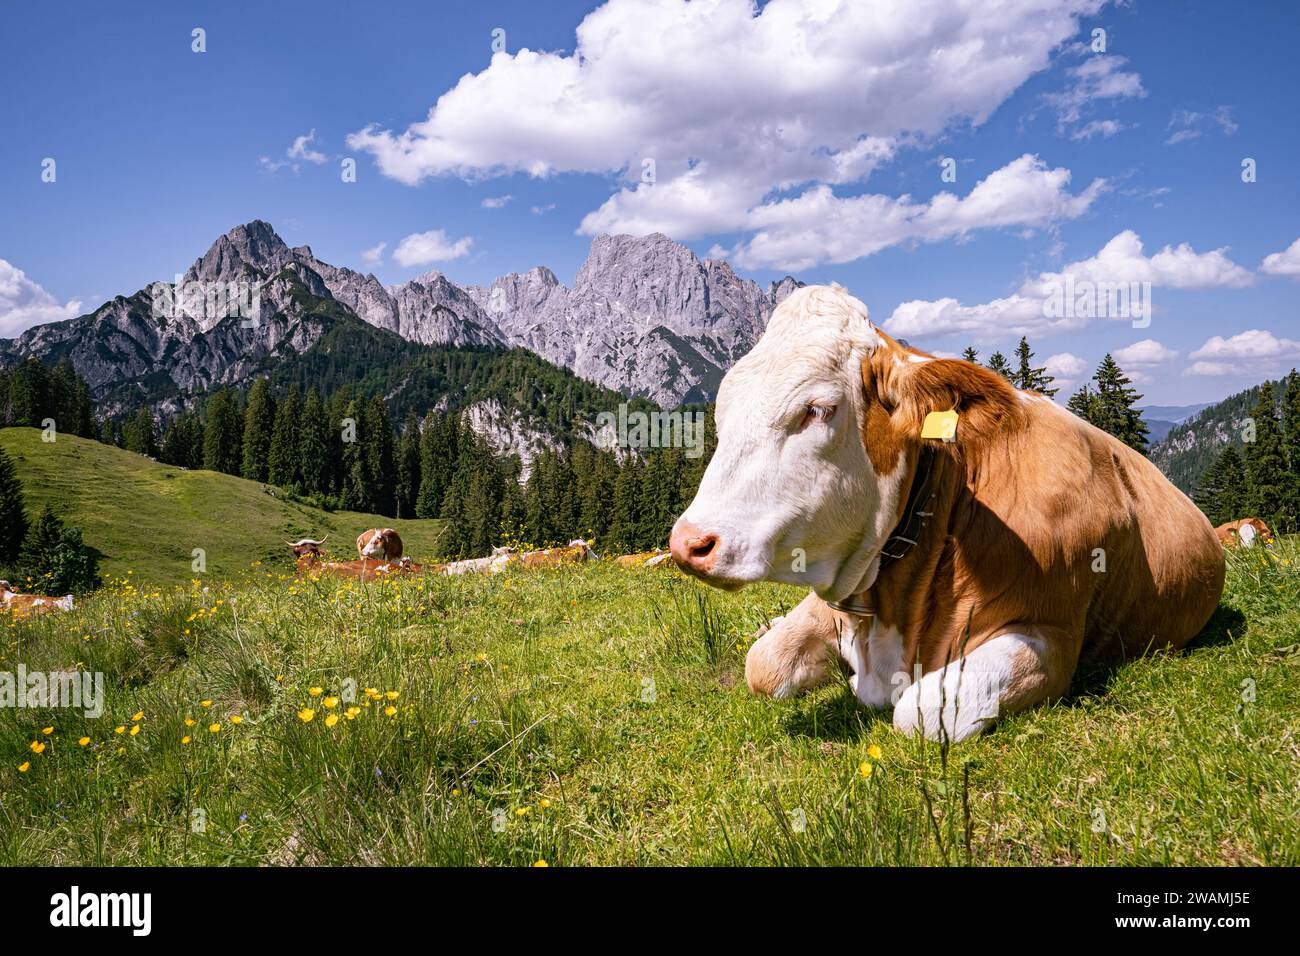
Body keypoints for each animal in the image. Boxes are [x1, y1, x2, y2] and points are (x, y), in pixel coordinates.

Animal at [668, 284, 1225, 742]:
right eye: (722, 412)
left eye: (817, 410)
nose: (689, 543)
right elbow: (763, 665)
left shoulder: (1051, 636)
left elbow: (915, 713)